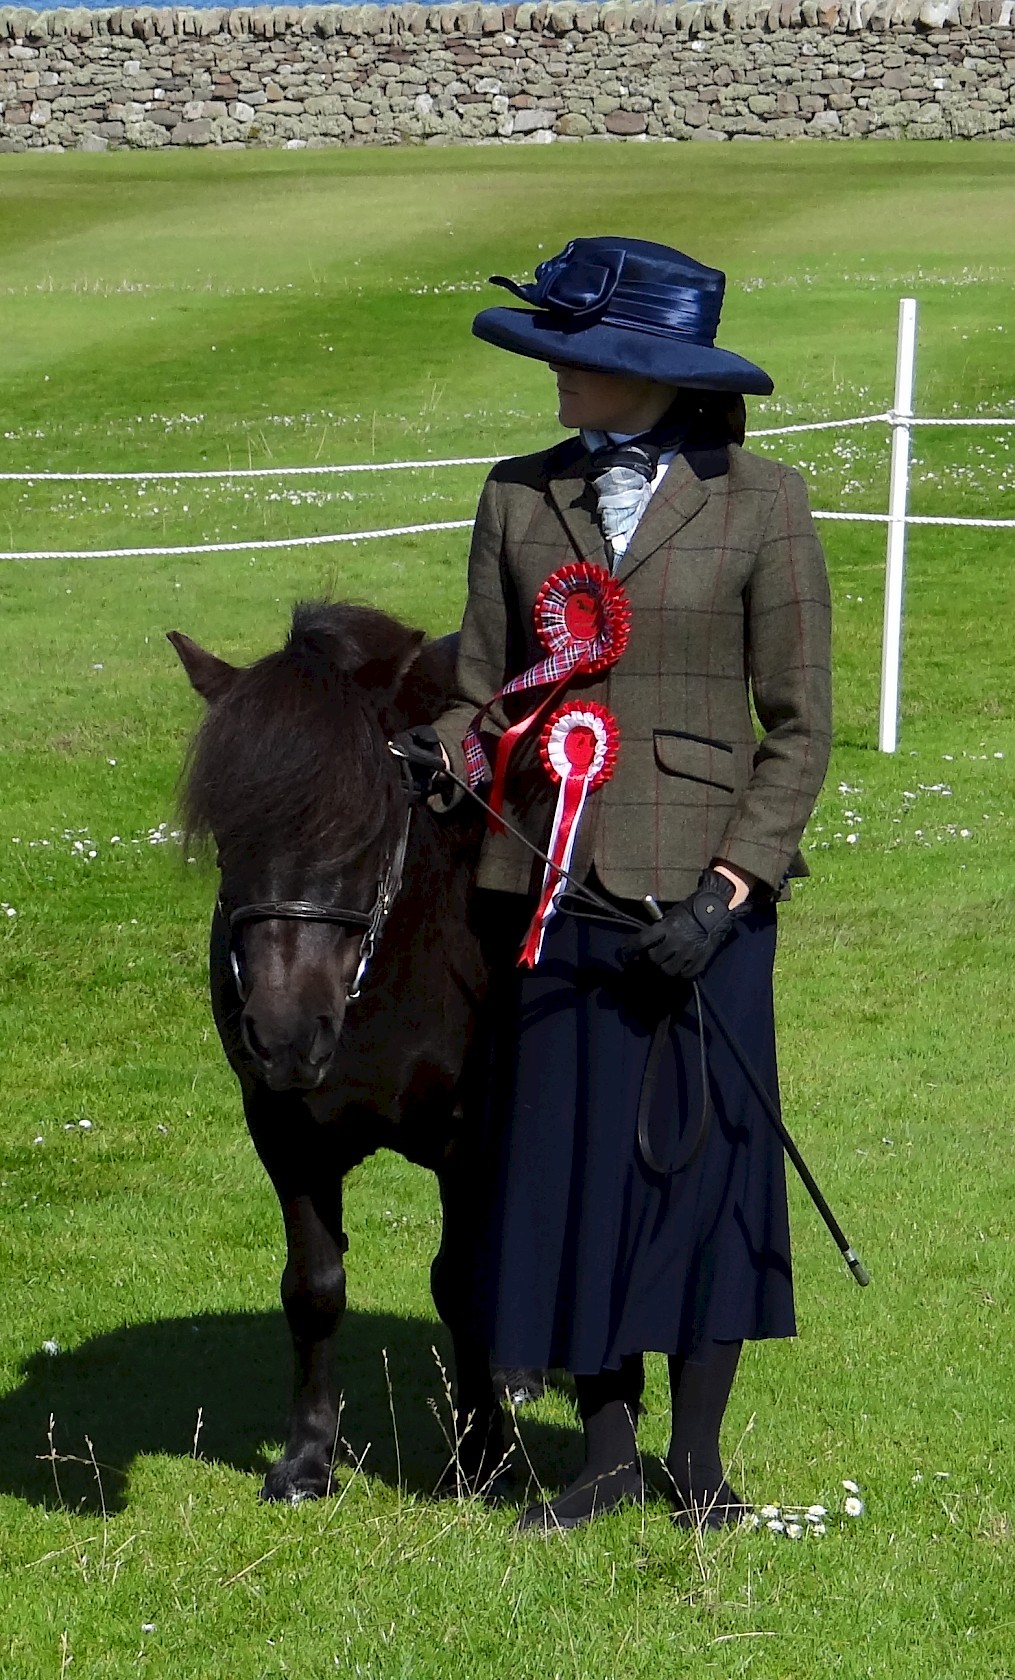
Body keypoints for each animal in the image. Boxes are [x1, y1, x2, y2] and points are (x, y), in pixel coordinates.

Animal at [169, 600, 507, 1504]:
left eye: (365, 828)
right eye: (229, 833)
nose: (286, 1033)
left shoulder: (472, 1139)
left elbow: (464, 1284)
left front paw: (478, 1455)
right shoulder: (285, 1130)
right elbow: (313, 1290)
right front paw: (308, 1456)